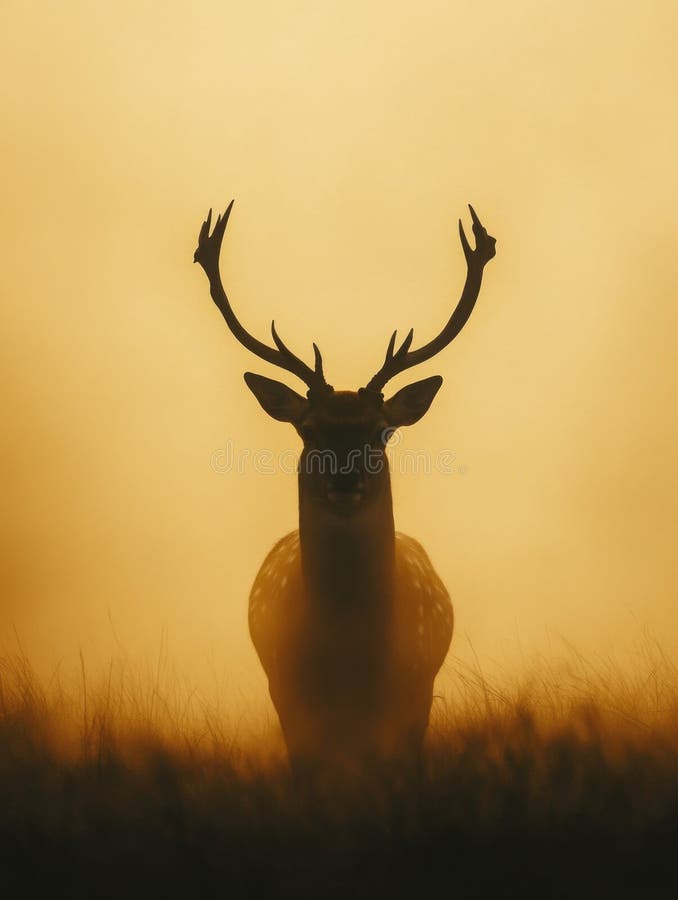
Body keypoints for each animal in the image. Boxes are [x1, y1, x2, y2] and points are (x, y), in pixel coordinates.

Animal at [193, 201, 496, 772]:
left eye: (381, 431)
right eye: (309, 430)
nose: (345, 477)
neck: (352, 657)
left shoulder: (413, 698)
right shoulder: (291, 700)